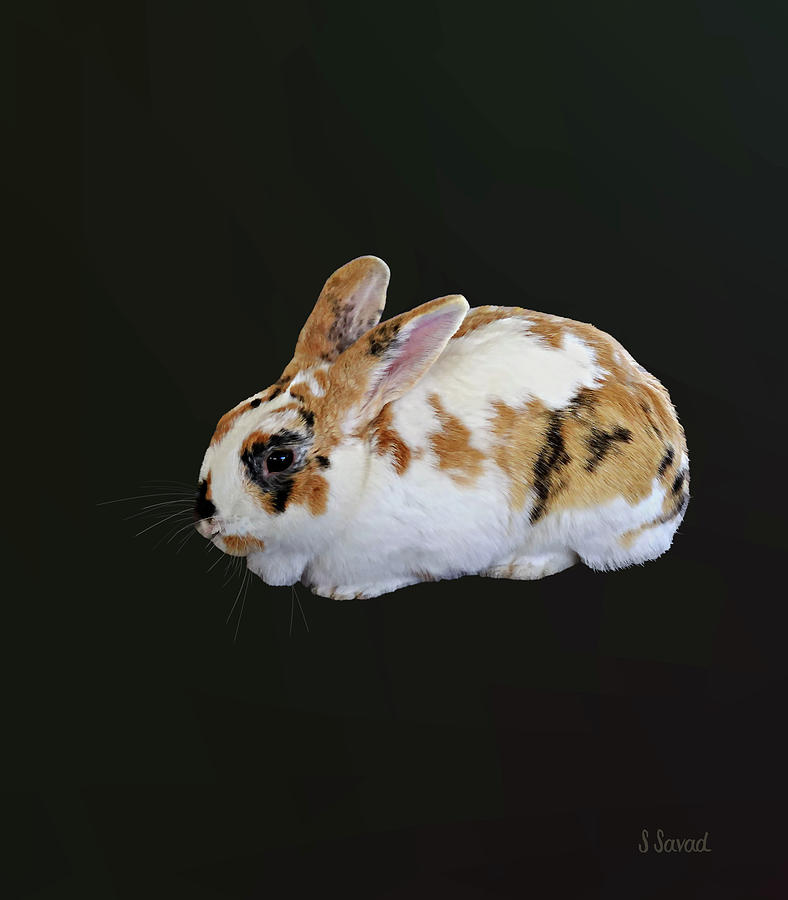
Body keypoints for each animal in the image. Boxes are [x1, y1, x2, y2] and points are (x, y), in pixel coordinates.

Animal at [194, 255, 689, 599]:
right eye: (223, 421)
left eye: (279, 458)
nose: (207, 520)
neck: (365, 472)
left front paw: (346, 591)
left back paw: (518, 565)